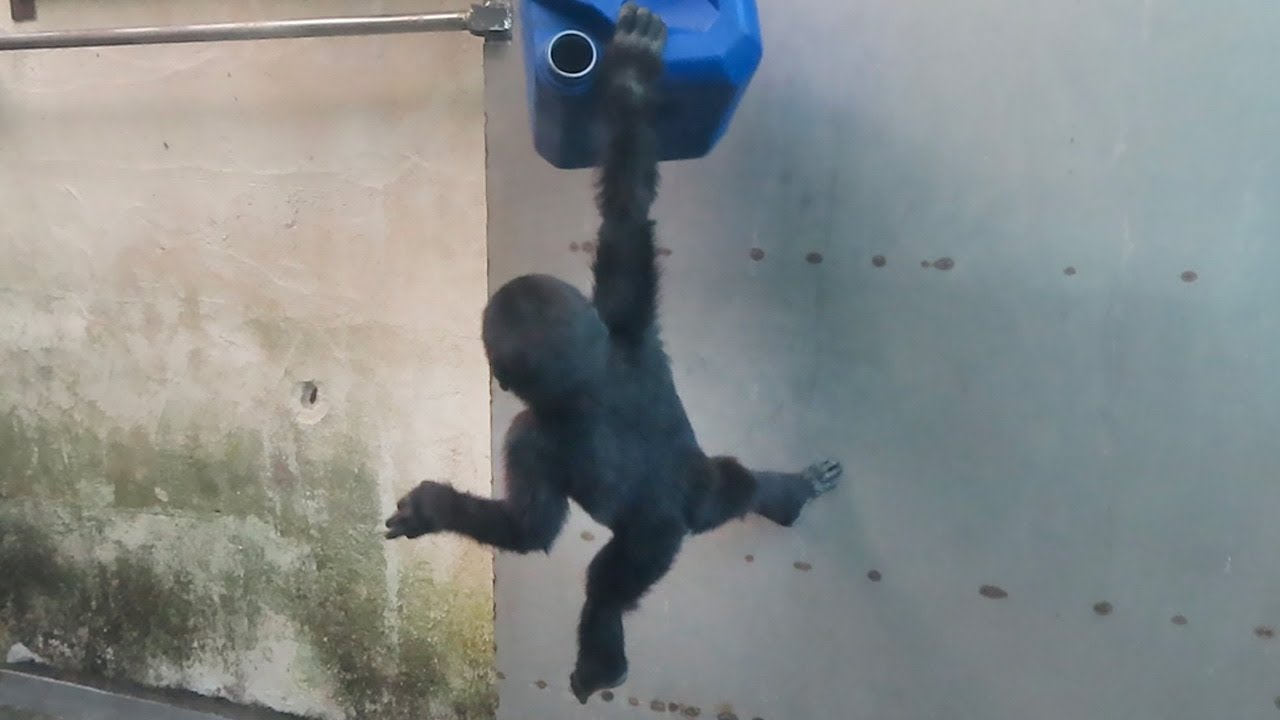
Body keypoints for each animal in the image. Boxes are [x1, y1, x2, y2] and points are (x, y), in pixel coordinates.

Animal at [384, 3, 842, 704]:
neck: (589, 377)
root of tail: (684, 510)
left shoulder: (528, 432)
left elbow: (529, 528)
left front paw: (433, 509)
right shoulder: (628, 321)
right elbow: (630, 206)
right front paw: (631, 80)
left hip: (649, 543)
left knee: (607, 582)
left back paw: (601, 653)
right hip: (702, 489)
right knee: (734, 483)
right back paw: (786, 494)